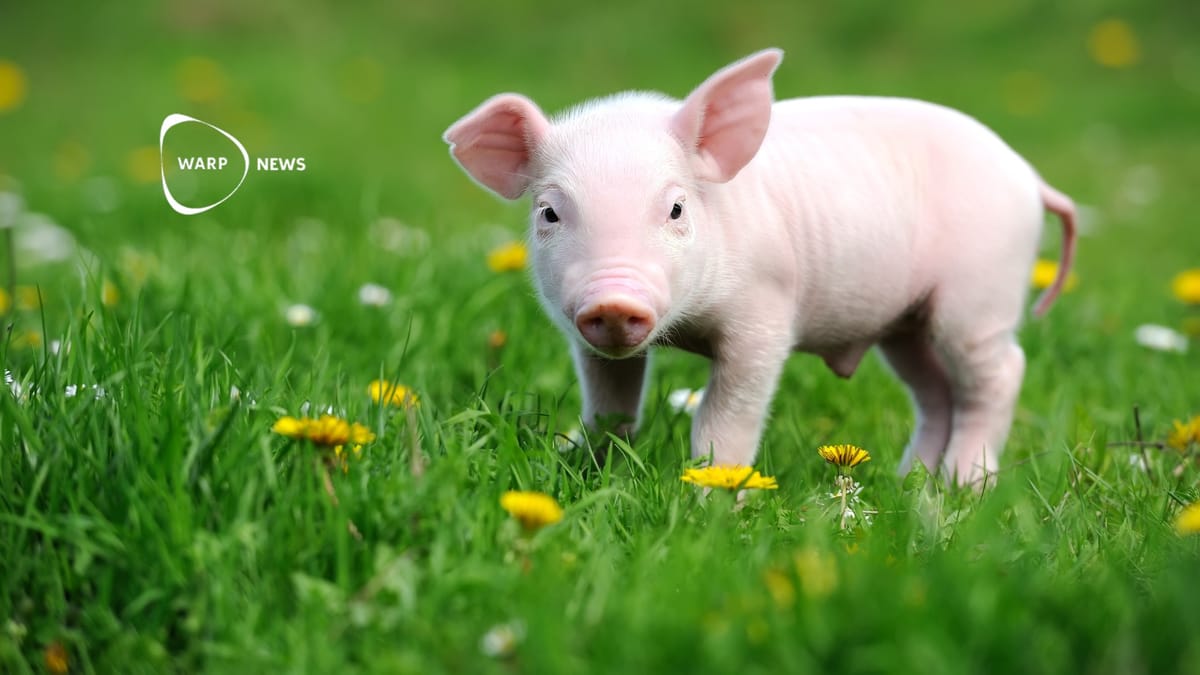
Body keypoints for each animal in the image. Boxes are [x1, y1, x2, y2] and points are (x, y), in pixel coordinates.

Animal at [443, 48, 1077, 486]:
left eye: (676, 208)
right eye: (549, 212)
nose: (614, 300)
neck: (686, 327)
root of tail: (1030, 177)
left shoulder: (764, 315)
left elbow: (726, 418)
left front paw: (713, 497)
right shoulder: (588, 341)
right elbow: (610, 407)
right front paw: (578, 465)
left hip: (979, 295)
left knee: (1000, 373)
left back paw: (963, 486)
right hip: (906, 323)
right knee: (936, 392)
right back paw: (908, 485)